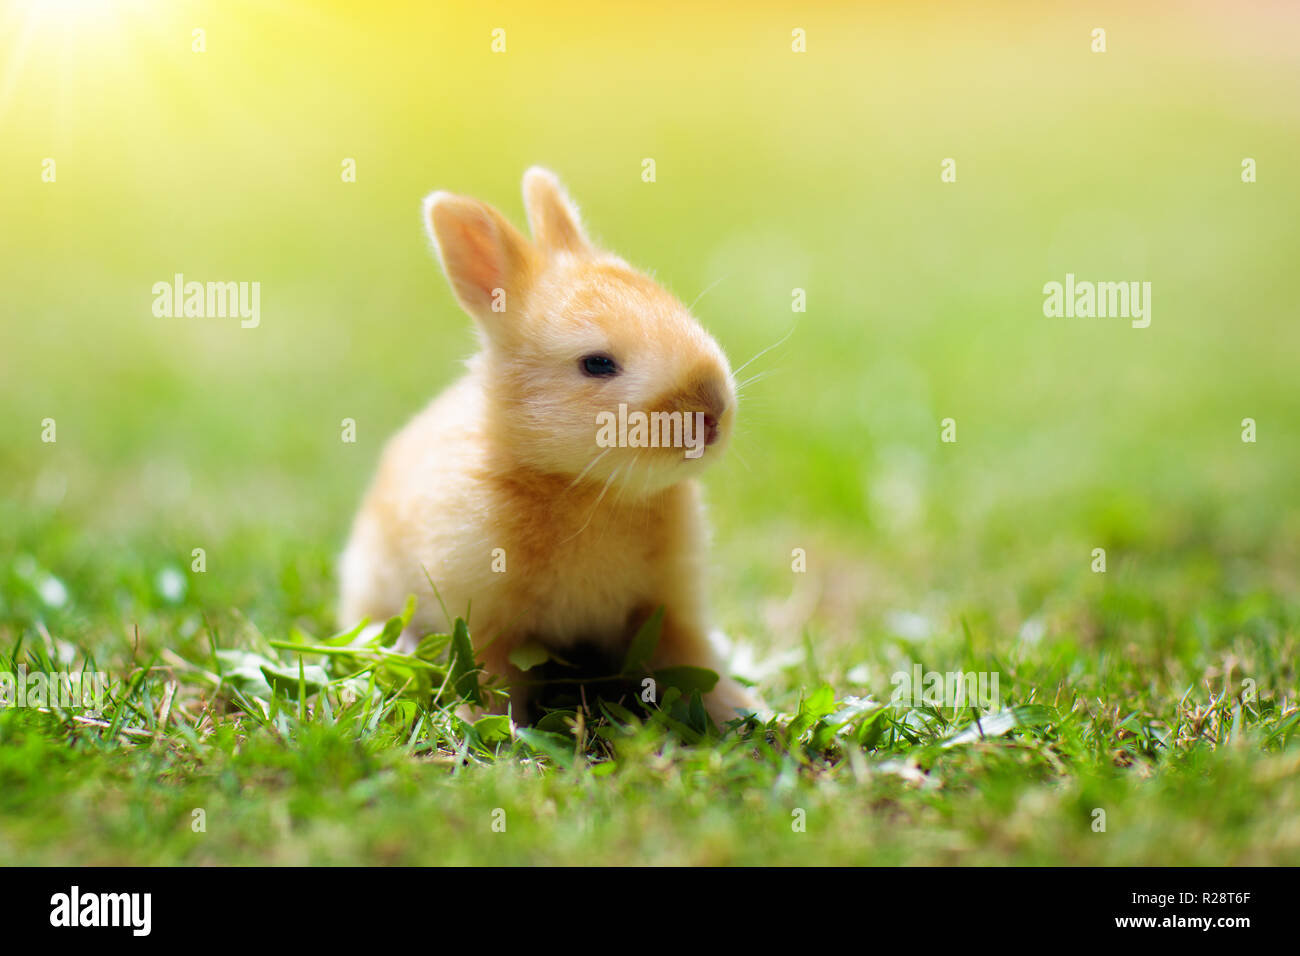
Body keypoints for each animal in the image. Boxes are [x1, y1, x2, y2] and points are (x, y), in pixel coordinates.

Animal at [338, 167, 762, 726]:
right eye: (597, 364)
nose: (710, 414)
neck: (593, 490)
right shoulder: (484, 619)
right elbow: (490, 677)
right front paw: (489, 726)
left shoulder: (668, 609)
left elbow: (691, 659)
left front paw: (742, 711)